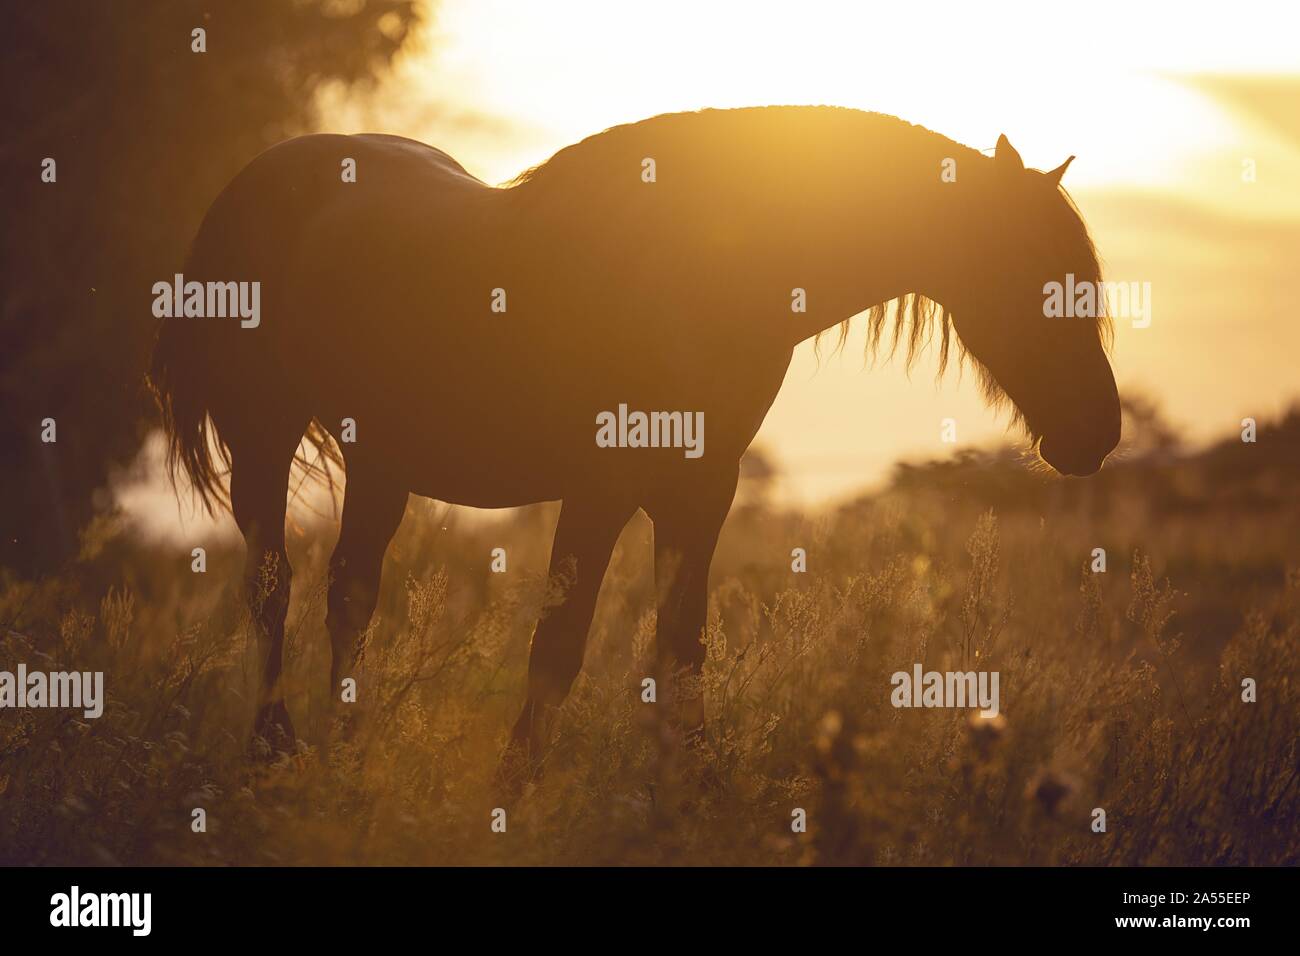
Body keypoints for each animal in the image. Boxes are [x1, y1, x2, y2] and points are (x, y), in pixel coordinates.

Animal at [148, 106, 1120, 775]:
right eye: (1031, 271)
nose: (1100, 434)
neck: (708, 268)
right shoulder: (602, 488)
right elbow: (559, 649)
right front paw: (515, 788)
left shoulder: (701, 492)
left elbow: (681, 649)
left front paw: (690, 787)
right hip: (265, 439)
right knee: (272, 589)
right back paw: (276, 750)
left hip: (379, 460)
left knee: (349, 595)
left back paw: (351, 750)